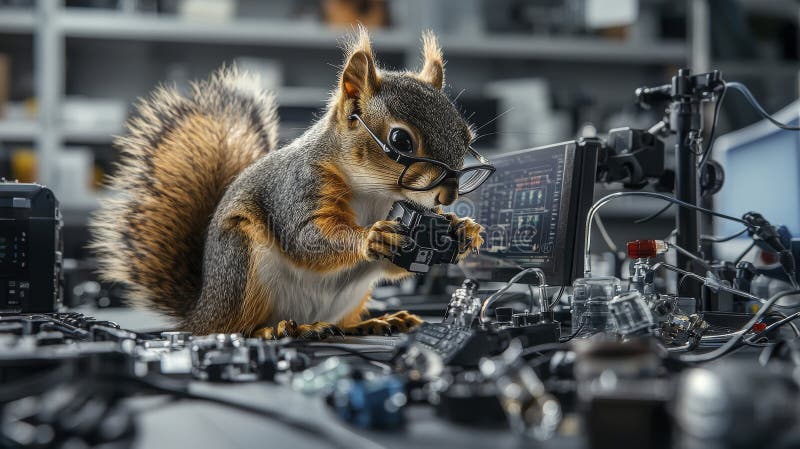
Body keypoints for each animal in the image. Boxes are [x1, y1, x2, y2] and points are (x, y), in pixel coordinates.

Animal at [89, 27, 485, 339]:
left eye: (466, 136)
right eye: (401, 140)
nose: (449, 196)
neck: (376, 192)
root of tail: (202, 312)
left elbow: (393, 266)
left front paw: (463, 229)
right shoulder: (297, 188)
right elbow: (304, 237)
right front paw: (372, 237)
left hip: (354, 295)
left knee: (340, 322)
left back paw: (373, 323)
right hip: (241, 266)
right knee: (237, 327)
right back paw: (278, 329)